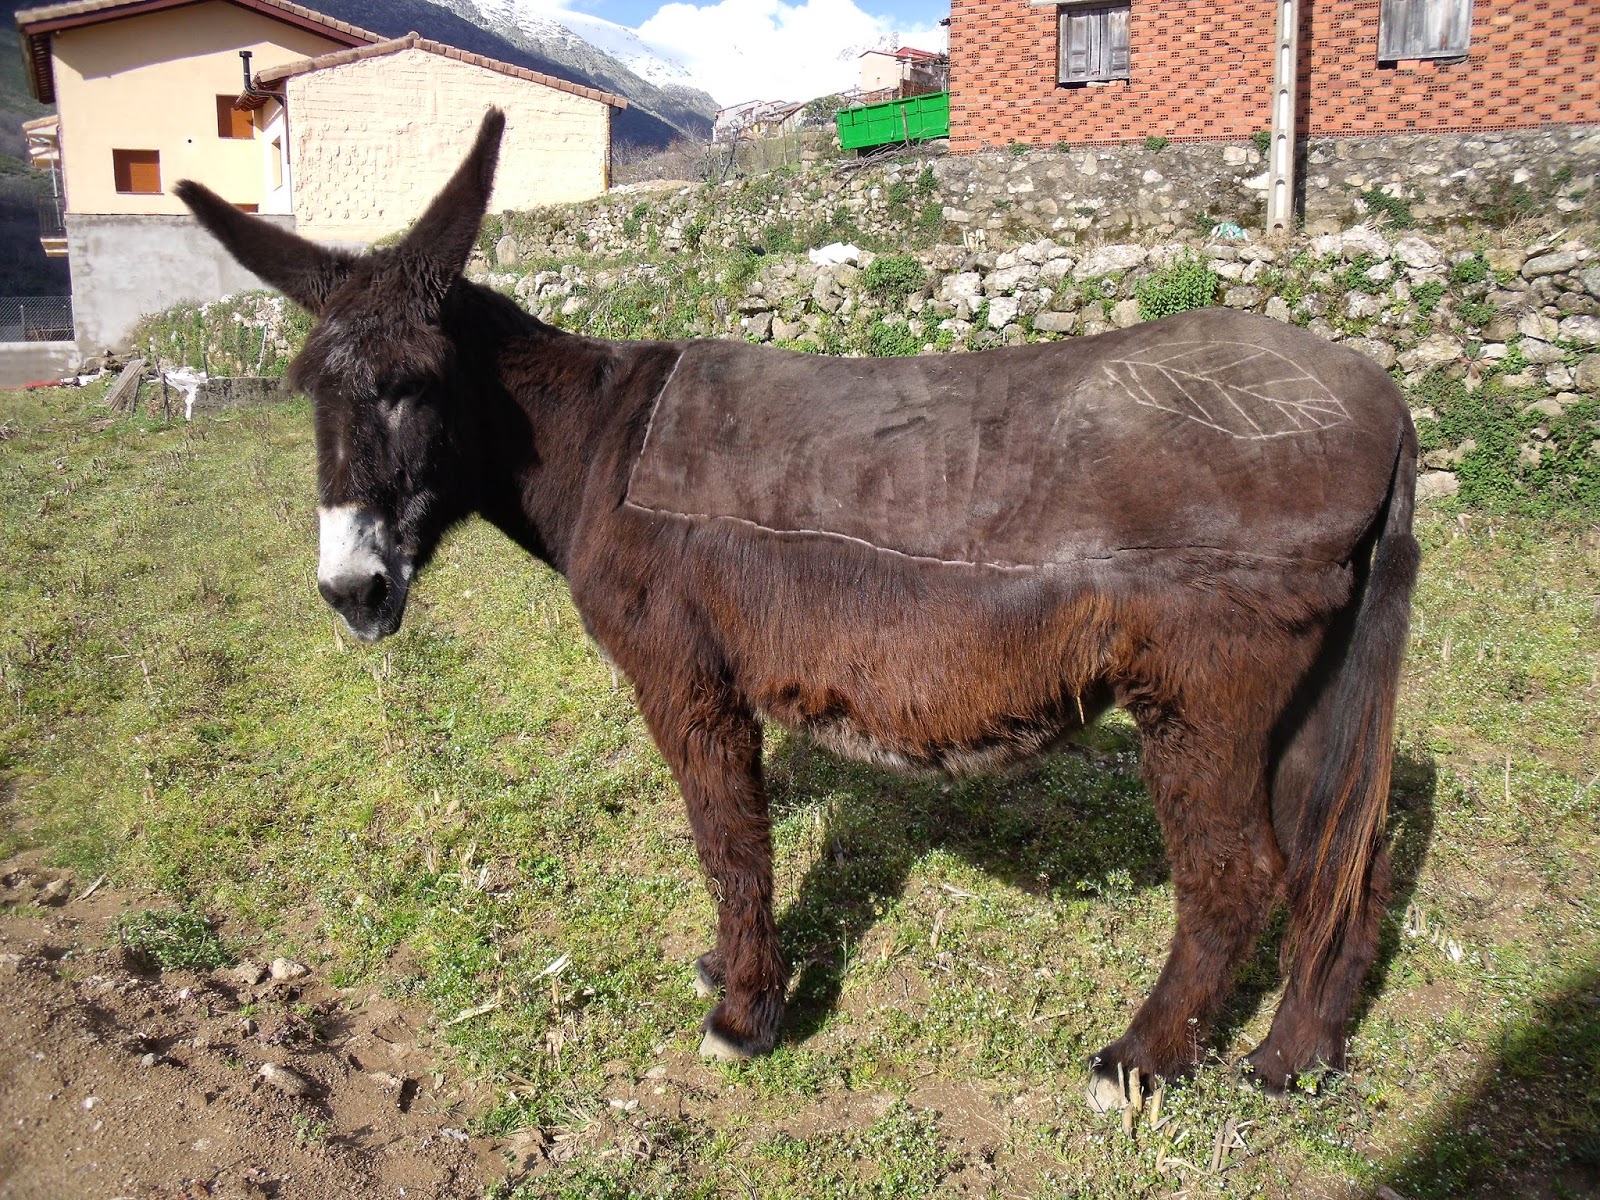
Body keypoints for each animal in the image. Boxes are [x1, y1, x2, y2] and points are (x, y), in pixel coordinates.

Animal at [177, 108, 1419, 1108]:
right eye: (310, 395)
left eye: (412, 388)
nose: (351, 593)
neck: (597, 440)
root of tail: (1382, 400)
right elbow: (732, 846)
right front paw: (732, 976)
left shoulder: (686, 681)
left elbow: (730, 844)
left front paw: (743, 1016)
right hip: (1306, 694)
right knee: (1337, 862)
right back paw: (1293, 1062)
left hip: (1203, 695)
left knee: (1235, 879)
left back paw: (1141, 1060)